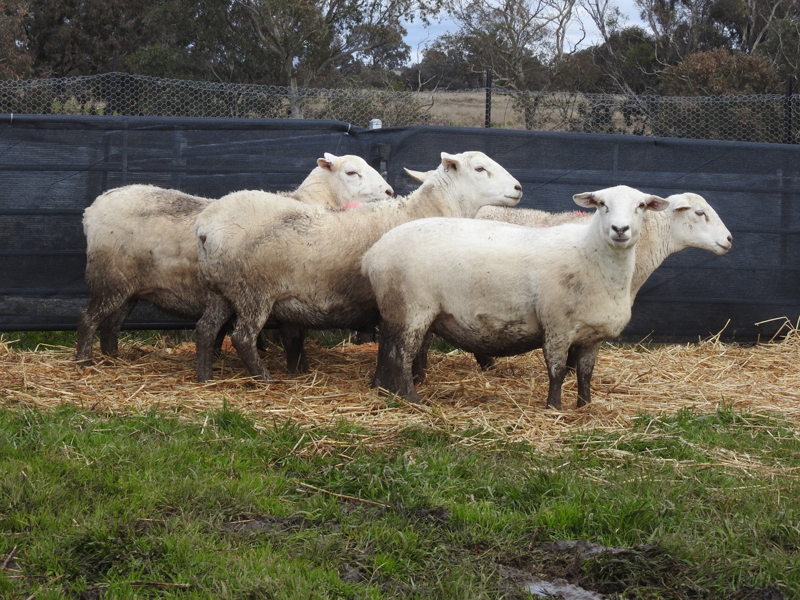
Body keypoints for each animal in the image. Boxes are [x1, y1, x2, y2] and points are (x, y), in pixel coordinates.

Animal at [75, 153, 393, 362]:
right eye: (351, 173)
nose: (390, 192)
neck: (312, 204)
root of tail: (93, 208)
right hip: (109, 279)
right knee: (88, 319)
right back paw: (84, 361)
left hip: (128, 287)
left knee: (111, 326)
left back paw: (113, 359)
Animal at [193, 151, 523, 382]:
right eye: (479, 168)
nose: (519, 187)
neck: (424, 211)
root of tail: (206, 226)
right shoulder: (417, 295)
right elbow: (422, 343)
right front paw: (418, 377)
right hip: (254, 291)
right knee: (242, 338)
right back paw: (262, 378)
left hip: (221, 289)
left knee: (205, 329)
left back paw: (204, 377)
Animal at [361, 185, 670, 410]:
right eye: (602, 204)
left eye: (640, 206)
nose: (620, 230)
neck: (588, 255)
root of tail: (373, 253)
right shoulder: (556, 326)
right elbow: (557, 370)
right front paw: (554, 408)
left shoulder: (592, 336)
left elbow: (586, 374)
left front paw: (585, 406)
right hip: (411, 307)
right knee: (401, 354)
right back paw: (412, 399)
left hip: (396, 308)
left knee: (387, 349)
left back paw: (382, 389)